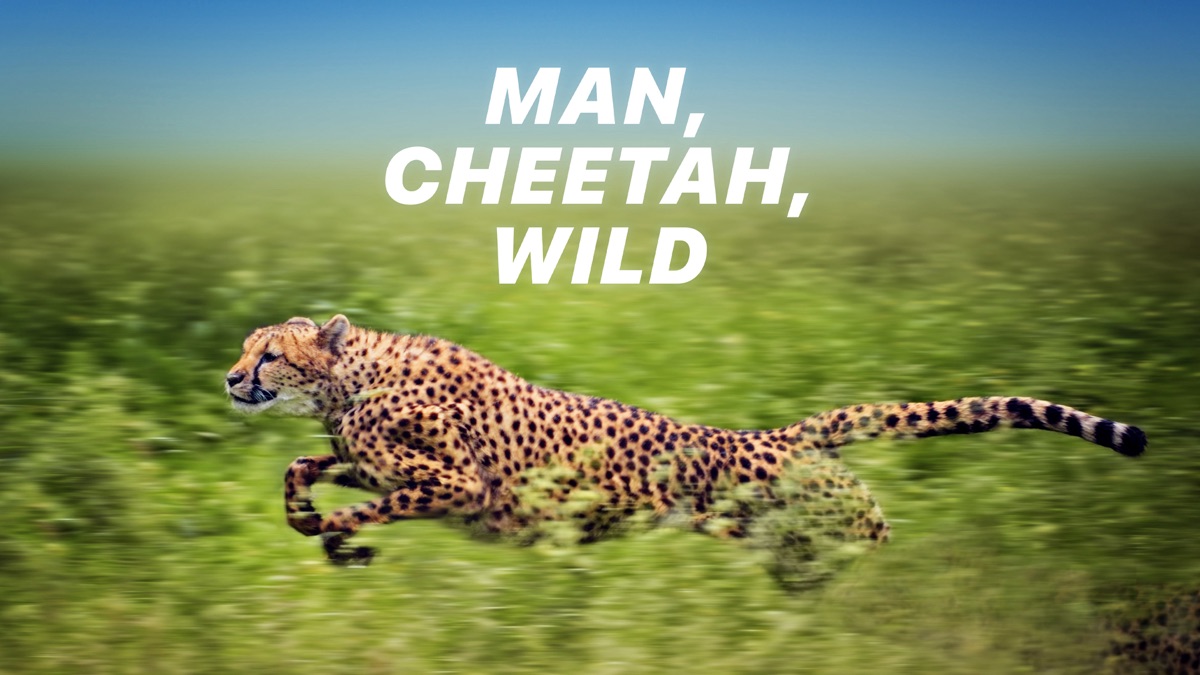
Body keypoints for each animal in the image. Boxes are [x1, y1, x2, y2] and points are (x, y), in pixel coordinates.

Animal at [225, 314, 1146, 571]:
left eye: (267, 352)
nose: (232, 379)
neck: (352, 376)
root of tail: (775, 435)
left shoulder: (460, 485)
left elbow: (362, 502)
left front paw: (337, 536)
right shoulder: (364, 457)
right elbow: (301, 468)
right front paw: (314, 521)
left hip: (839, 532)